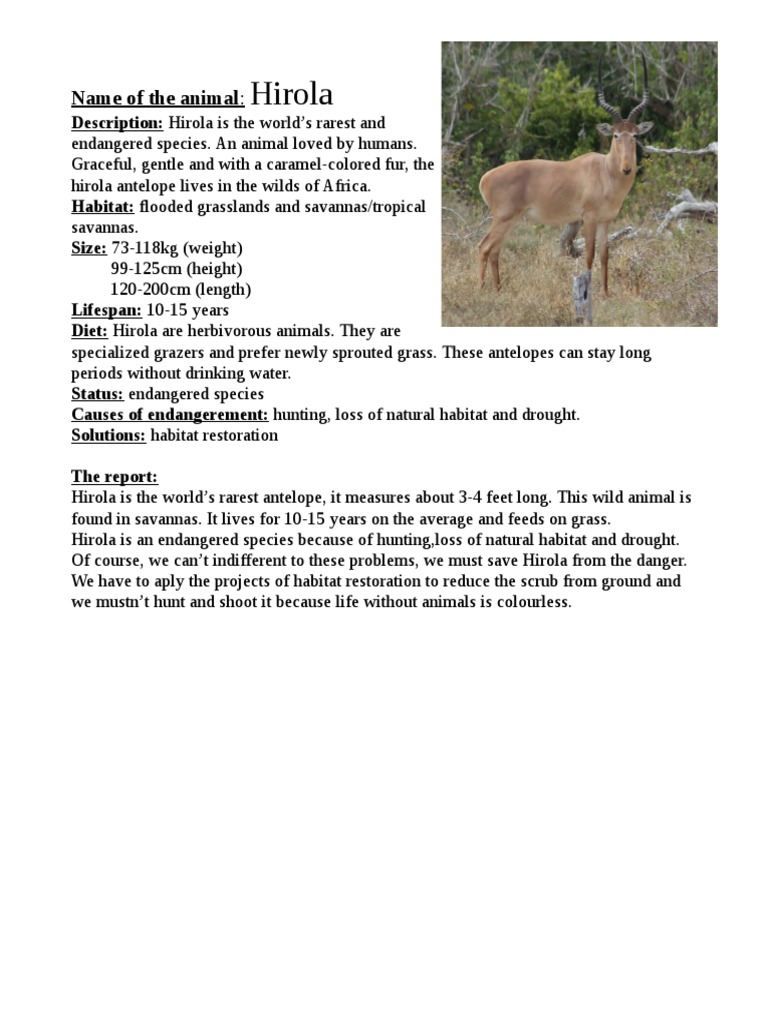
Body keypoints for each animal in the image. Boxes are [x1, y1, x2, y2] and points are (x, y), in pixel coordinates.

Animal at [478, 55, 653, 295]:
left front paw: (606, 294)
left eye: (635, 135)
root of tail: (485, 178)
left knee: (495, 250)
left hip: (510, 220)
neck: (604, 171)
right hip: (503, 219)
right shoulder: (588, 218)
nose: (626, 168)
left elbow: (604, 255)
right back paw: (481, 289)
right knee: (484, 247)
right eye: (616, 135)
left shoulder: (605, 220)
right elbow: (589, 254)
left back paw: (497, 290)